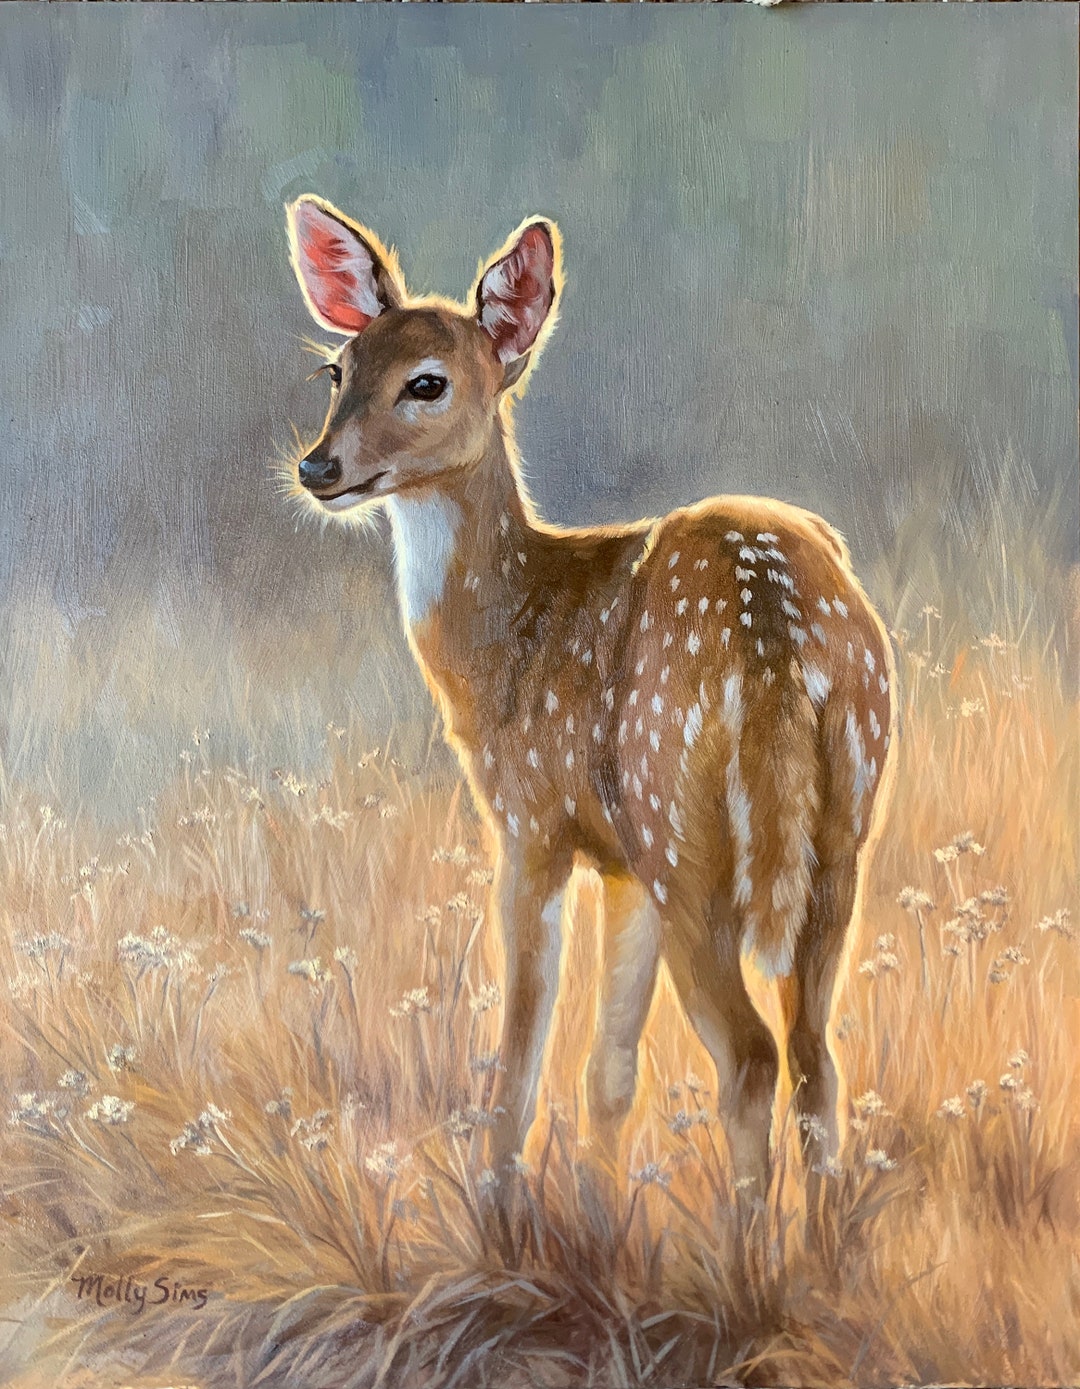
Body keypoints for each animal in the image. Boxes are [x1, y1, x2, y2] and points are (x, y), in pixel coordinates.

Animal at [284, 196, 897, 1198]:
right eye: (337, 368)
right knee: (815, 1054)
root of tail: (778, 633)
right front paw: (597, 1211)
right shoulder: (621, 864)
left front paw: (497, 1204)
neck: (511, 636)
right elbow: (609, 1072)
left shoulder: (532, 821)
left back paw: (745, 1240)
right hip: (839, 820)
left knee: (751, 1056)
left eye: (426, 383)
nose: (317, 468)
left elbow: (522, 1052)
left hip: (681, 822)